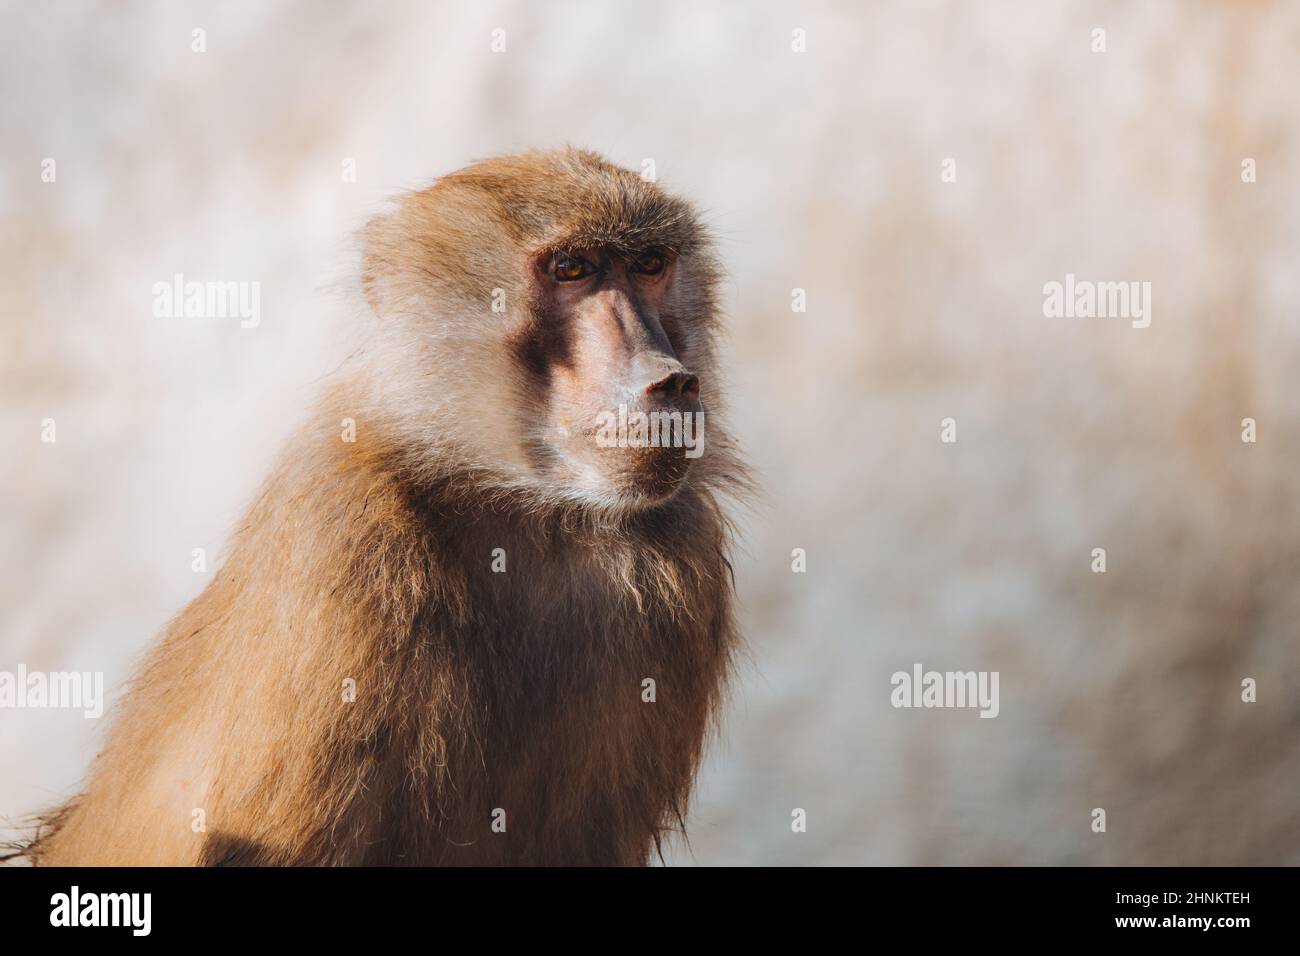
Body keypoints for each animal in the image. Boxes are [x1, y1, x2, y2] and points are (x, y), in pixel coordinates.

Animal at [16, 148, 748, 866]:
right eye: (572, 269)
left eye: (650, 264)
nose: (669, 379)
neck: (529, 512)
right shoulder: (344, 536)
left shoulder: (686, 553)